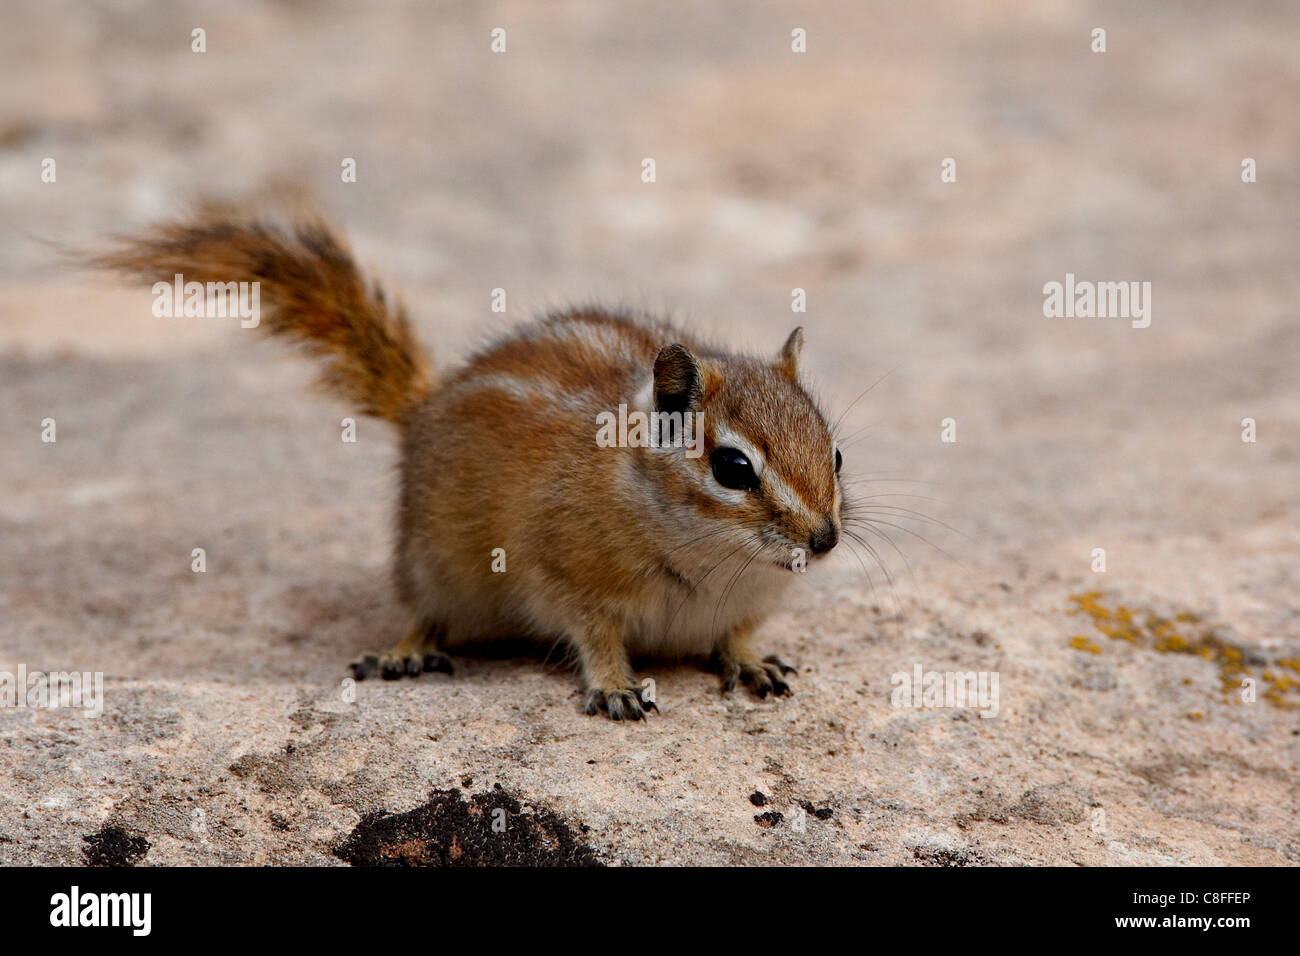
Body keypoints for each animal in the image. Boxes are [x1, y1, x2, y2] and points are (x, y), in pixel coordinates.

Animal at [95, 204, 845, 720]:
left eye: (835, 451)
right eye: (733, 469)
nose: (825, 539)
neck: (711, 561)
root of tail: (425, 403)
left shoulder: (746, 604)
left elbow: (736, 636)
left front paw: (751, 662)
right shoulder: (565, 573)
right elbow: (594, 635)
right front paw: (615, 686)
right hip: (432, 560)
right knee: (423, 610)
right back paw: (406, 651)